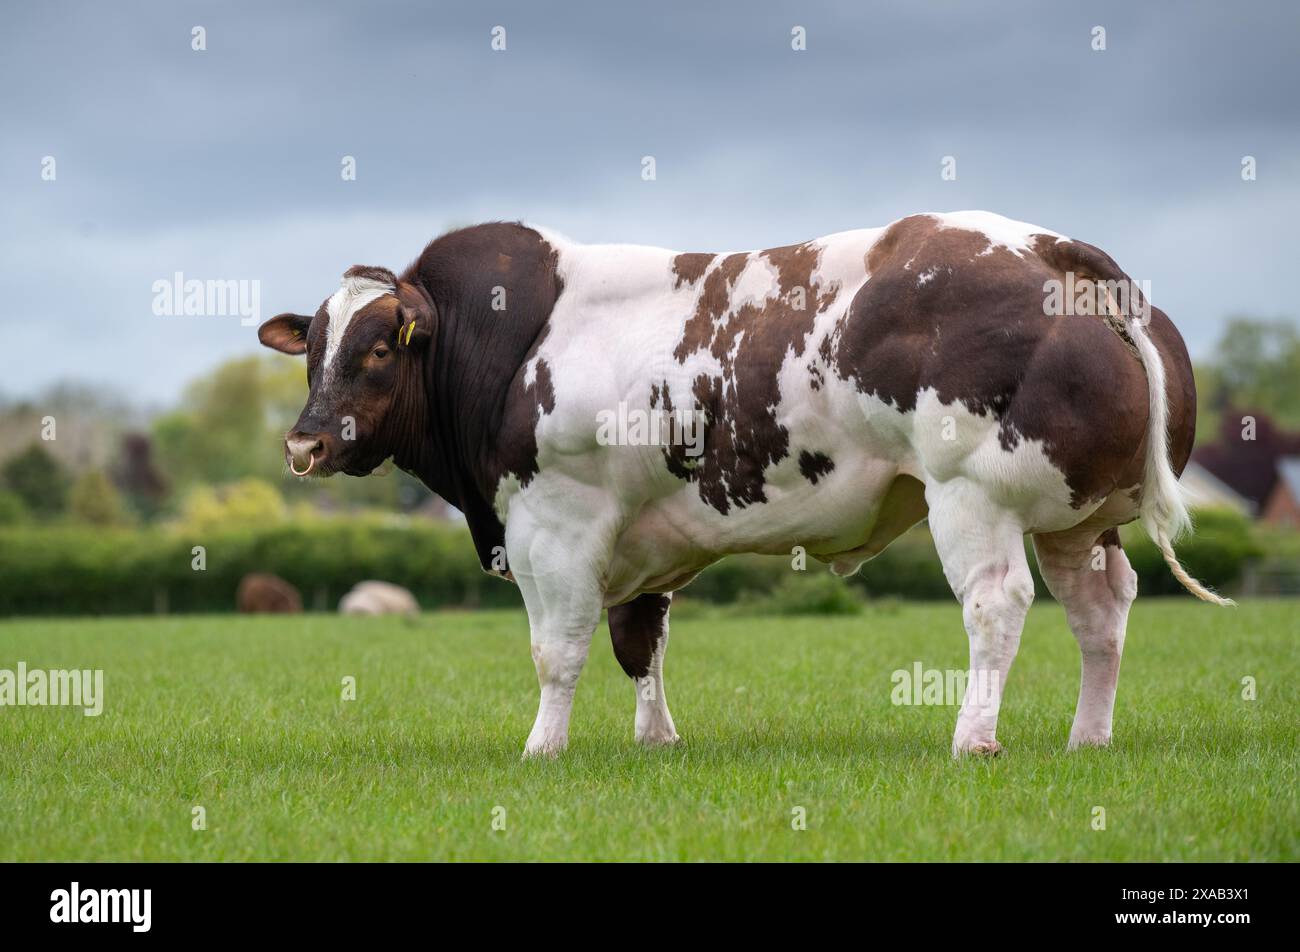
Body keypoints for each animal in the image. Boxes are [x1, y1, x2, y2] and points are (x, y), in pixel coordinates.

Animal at [257, 211, 1231, 758]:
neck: (508, 342)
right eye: (314, 349)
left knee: (998, 606)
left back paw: (973, 737)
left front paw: (542, 749)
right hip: (1078, 519)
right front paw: (655, 742)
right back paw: (1087, 739)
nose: (304, 443)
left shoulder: (556, 524)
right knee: (1101, 613)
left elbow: (557, 650)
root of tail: (1046, 245)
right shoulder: (640, 538)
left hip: (972, 497)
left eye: (377, 350)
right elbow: (639, 643)